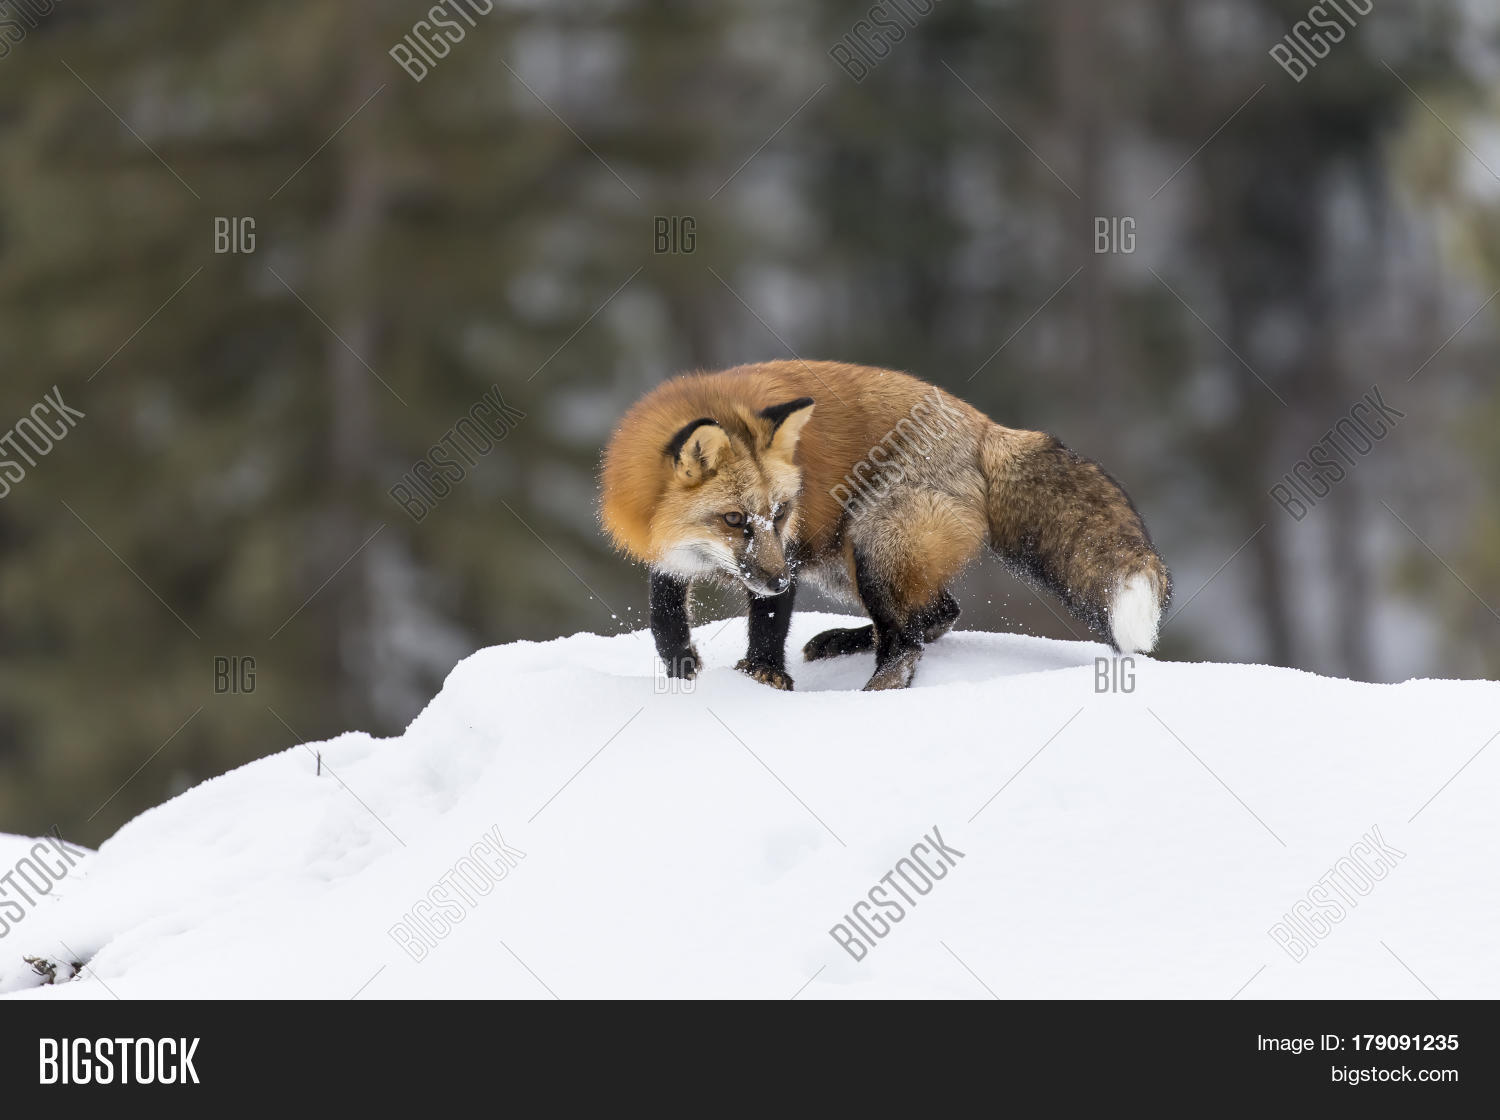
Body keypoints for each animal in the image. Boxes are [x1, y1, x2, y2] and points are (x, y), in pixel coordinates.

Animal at [599, 360, 1170, 692]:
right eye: (735, 519)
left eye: (780, 513)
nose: (781, 579)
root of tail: (985, 426)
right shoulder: (672, 552)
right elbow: (664, 612)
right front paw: (681, 665)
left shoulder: (790, 547)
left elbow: (768, 623)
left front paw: (764, 677)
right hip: (842, 562)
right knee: (938, 613)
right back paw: (846, 641)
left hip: (871, 546)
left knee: (909, 639)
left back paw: (875, 693)